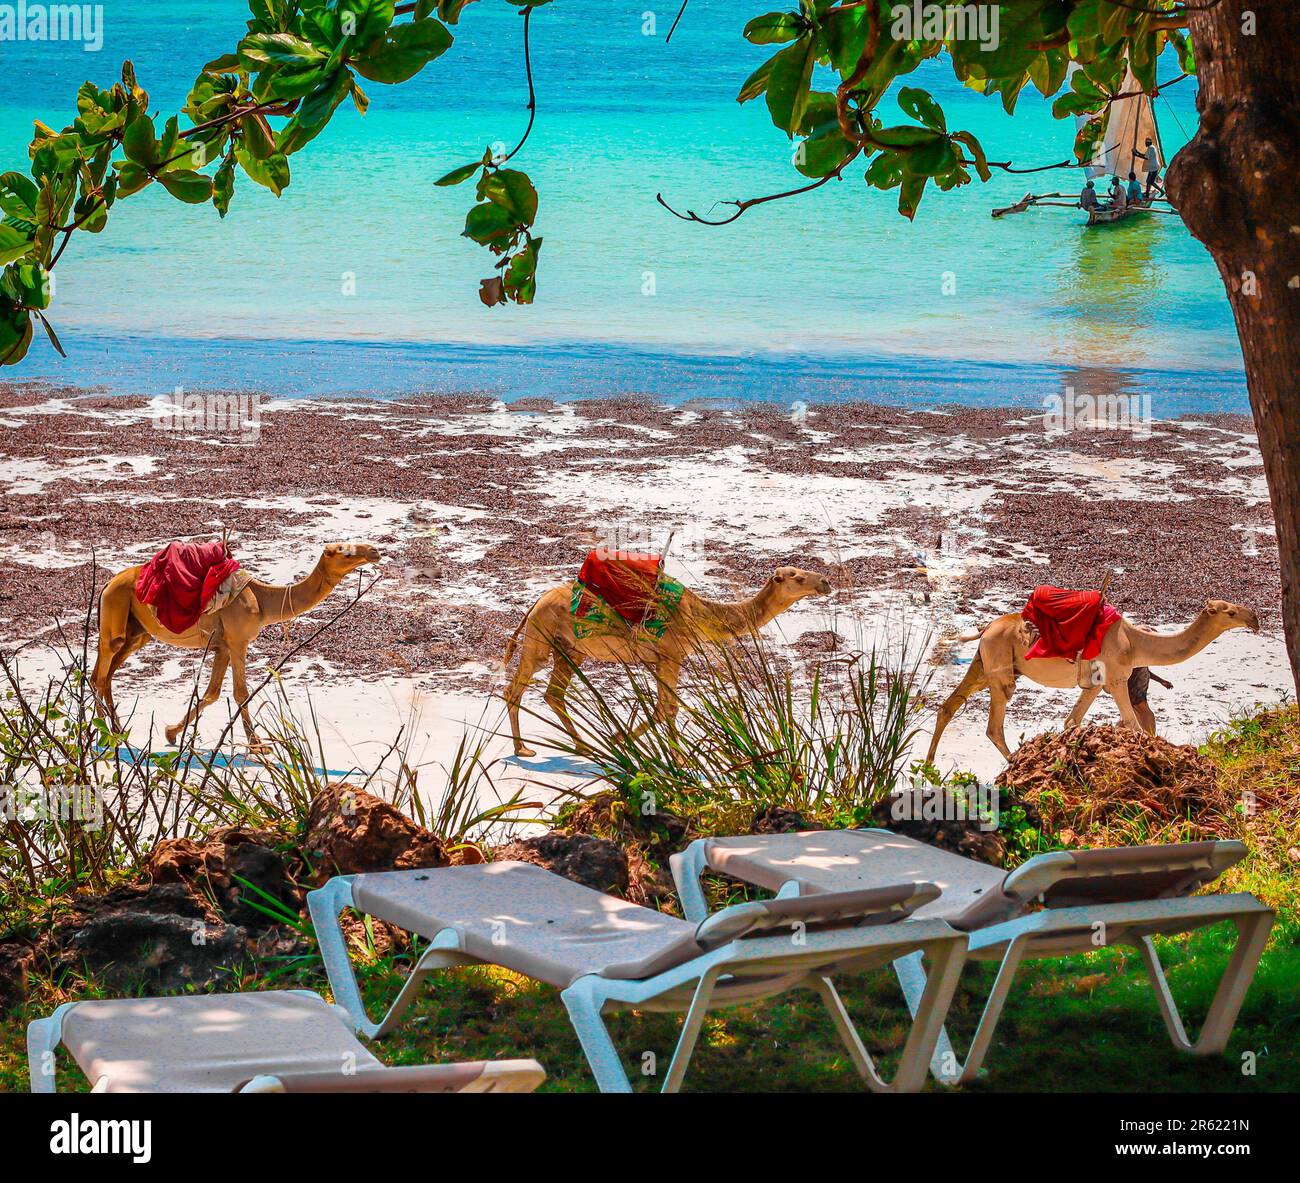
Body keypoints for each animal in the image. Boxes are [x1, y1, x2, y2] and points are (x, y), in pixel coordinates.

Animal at [92, 542, 382, 750]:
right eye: (343, 551)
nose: (374, 551)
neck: (263, 601)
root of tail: (107, 583)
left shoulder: (223, 645)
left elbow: (211, 693)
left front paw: (171, 733)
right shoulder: (239, 640)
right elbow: (241, 692)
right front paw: (257, 744)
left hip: (137, 631)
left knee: (109, 673)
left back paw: (118, 731)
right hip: (116, 608)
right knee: (100, 673)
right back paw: (106, 734)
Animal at [502, 566, 833, 757]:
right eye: (798, 577)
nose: (826, 581)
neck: (699, 612)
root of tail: (535, 603)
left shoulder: (664, 659)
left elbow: (665, 708)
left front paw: (624, 740)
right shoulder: (671, 655)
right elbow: (668, 708)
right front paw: (673, 756)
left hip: (570, 649)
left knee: (553, 693)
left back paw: (582, 745)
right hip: (540, 637)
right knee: (516, 688)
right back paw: (523, 749)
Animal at [926, 599, 1260, 763]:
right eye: (1230, 612)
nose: (1254, 619)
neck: (1135, 642)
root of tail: (986, 628)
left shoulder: (1095, 684)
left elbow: (1072, 721)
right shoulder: (1116, 680)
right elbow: (1135, 726)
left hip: (984, 665)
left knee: (949, 706)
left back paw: (928, 767)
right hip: (1000, 672)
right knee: (993, 725)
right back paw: (1012, 763)